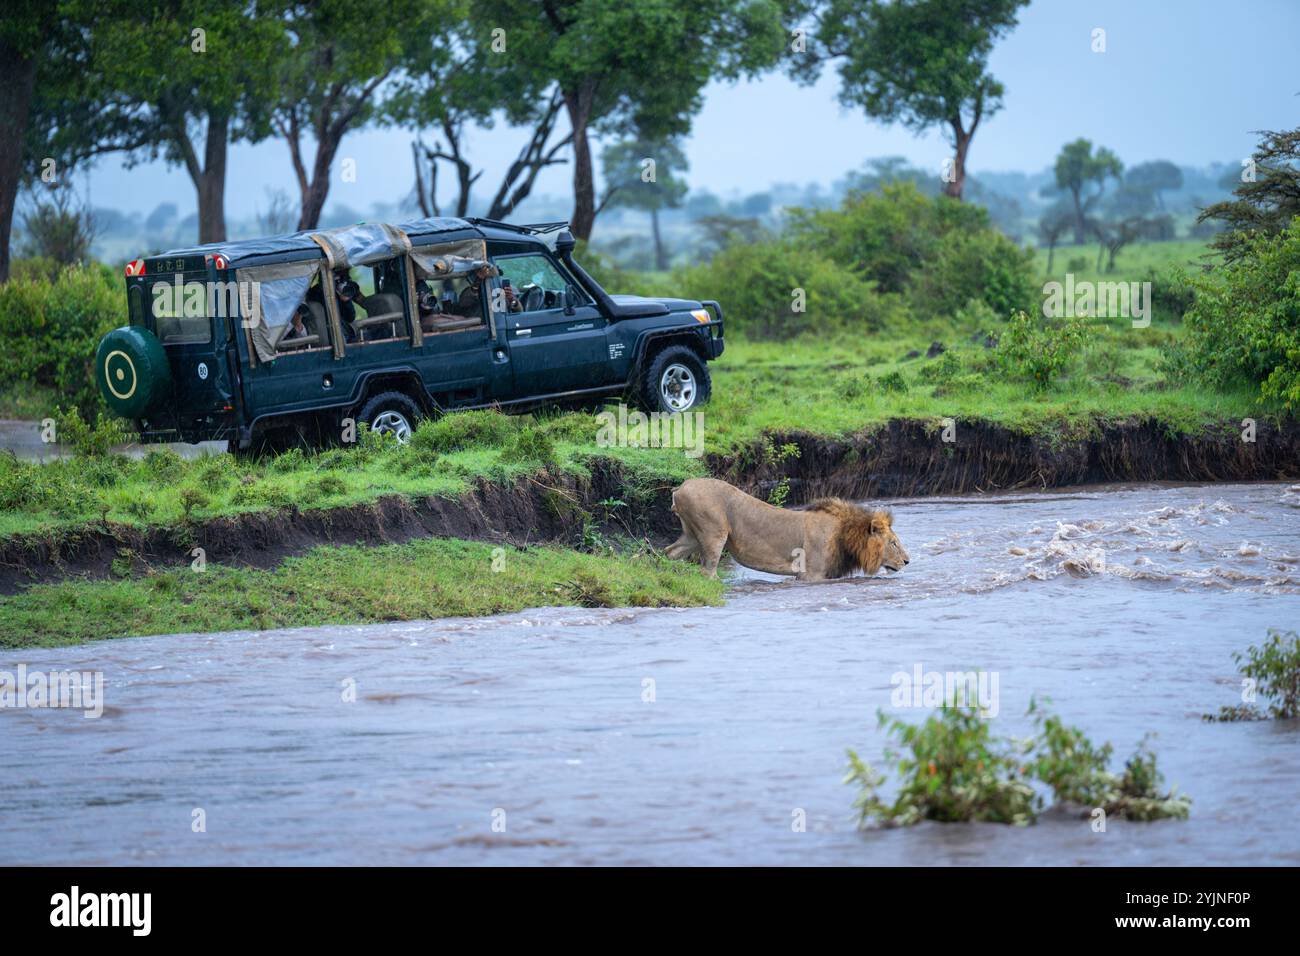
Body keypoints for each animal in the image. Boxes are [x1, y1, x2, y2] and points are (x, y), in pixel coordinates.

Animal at [665, 477, 909, 580]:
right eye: (893, 543)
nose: (907, 561)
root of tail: (682, 486)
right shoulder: (811, 574)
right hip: (714, 532)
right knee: (708, 570)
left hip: (692, 535)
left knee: (670, 552)